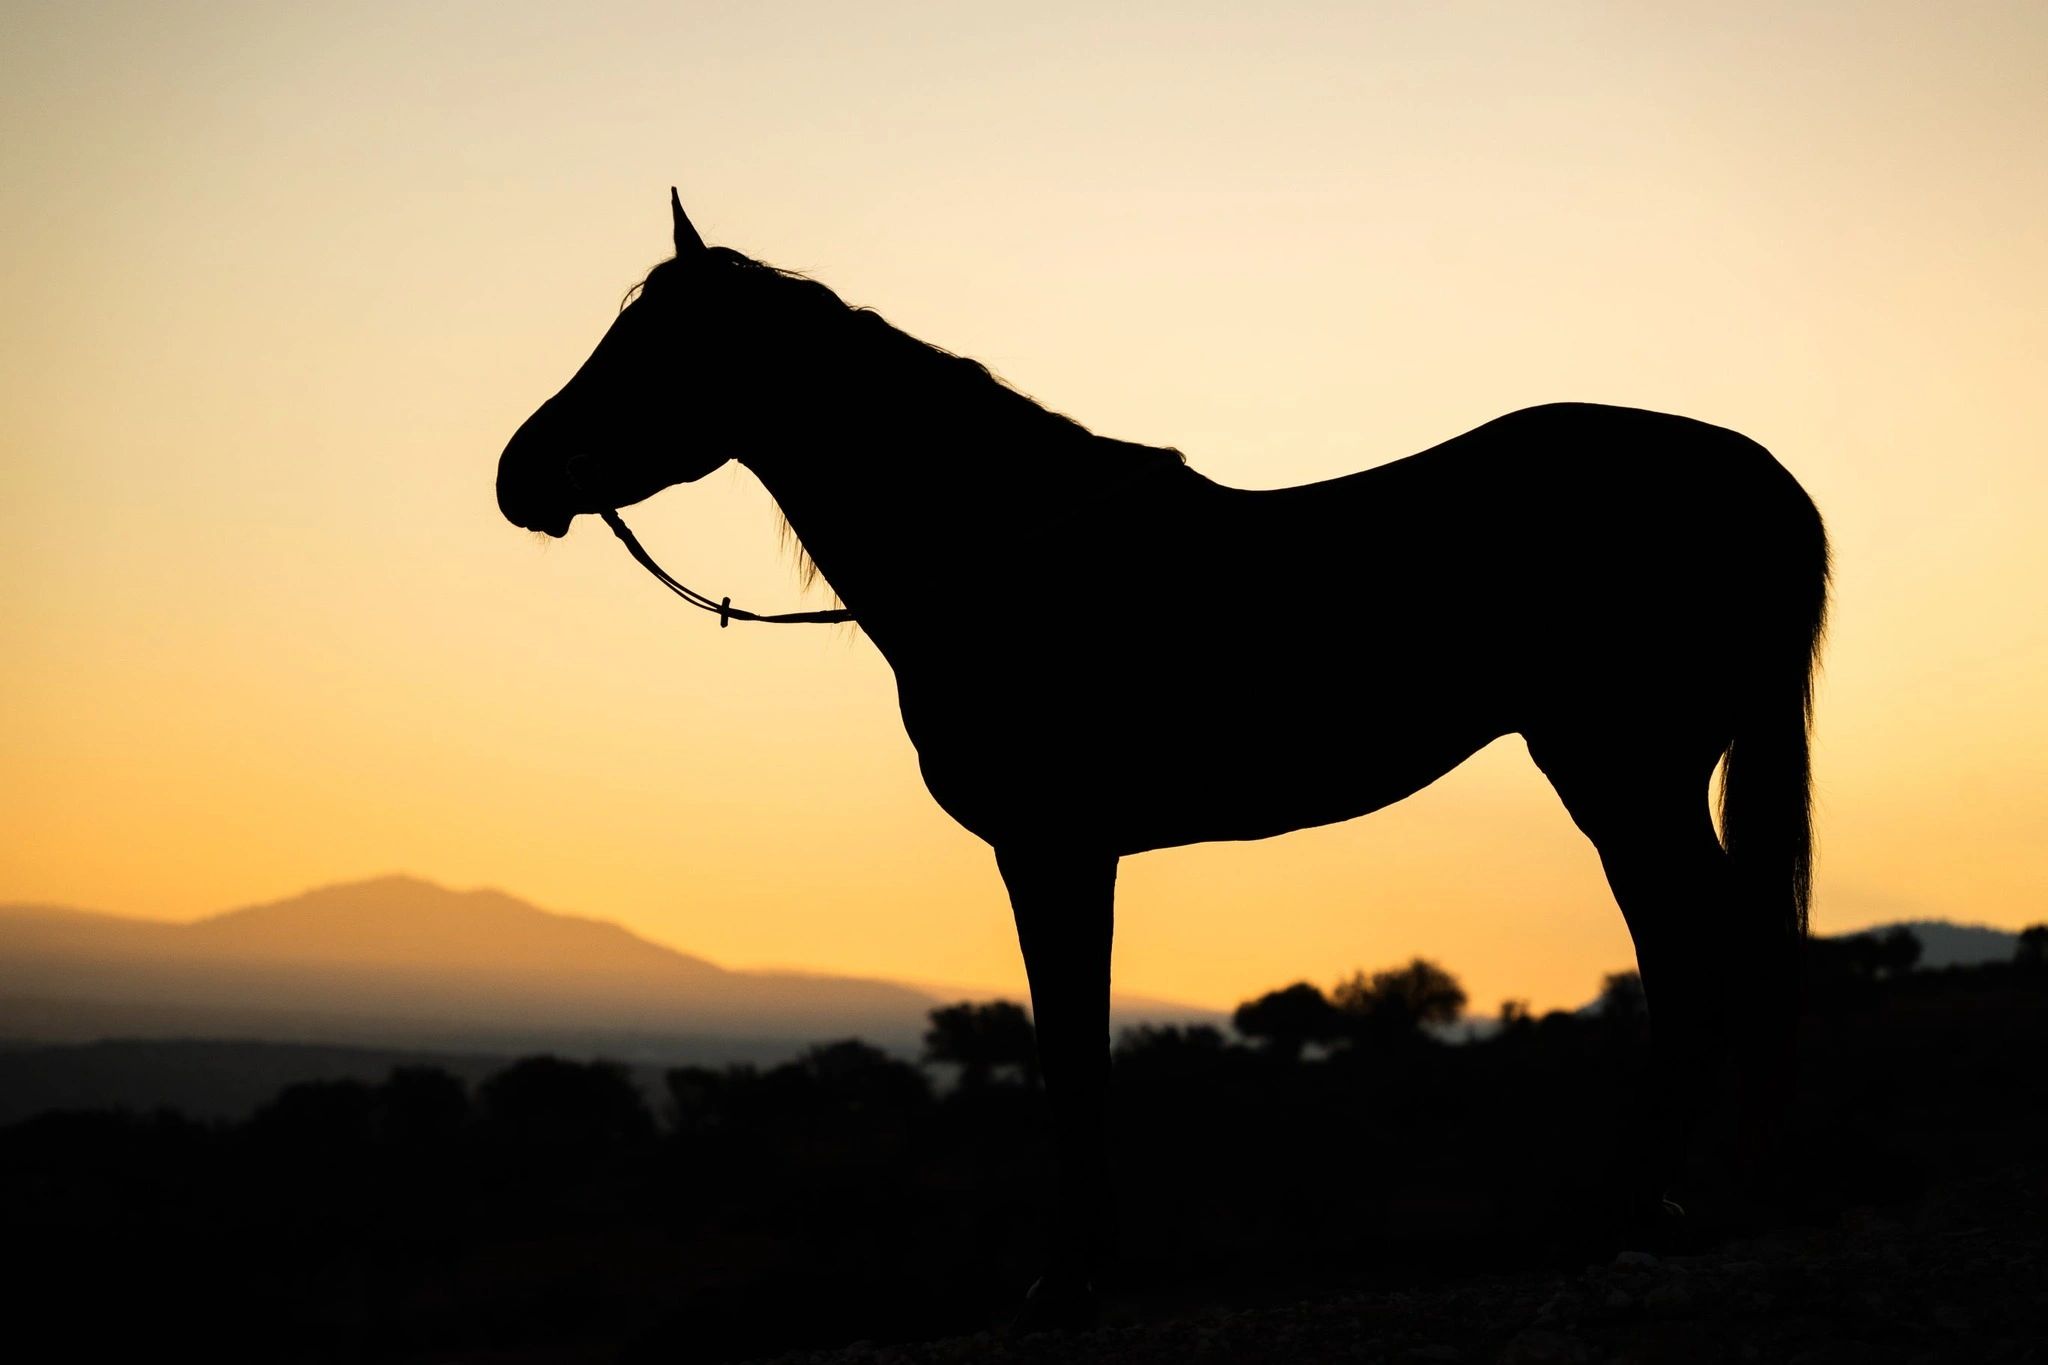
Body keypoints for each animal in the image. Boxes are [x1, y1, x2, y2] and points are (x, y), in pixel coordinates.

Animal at [496, 191, 1830, 1326]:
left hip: (1621, 772)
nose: (519, 475)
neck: (1001, 557)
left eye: (647, 351)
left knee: (1703, 951)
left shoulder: (1053, 849)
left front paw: (1071, 1280)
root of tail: (1753, 472)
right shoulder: (1066, 854)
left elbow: (1068, 1053)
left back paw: (1650, 1209)